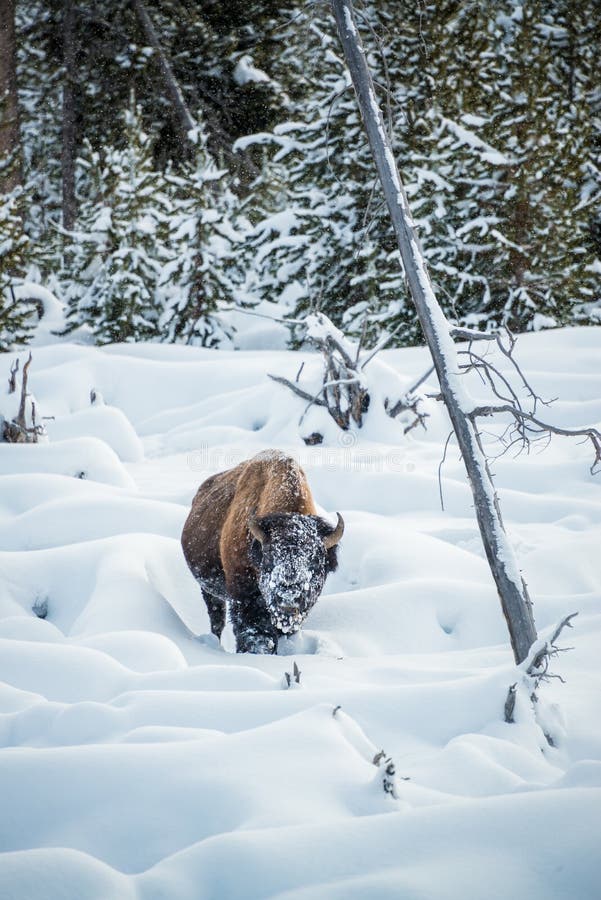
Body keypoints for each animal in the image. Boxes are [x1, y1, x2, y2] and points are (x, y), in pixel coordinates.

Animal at [181, 450, 344, 653]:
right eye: (269, 559)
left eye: (315, 562)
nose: (288, 600)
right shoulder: (244, 595)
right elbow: (253, 629)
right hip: (208, 590)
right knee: (217, 619)